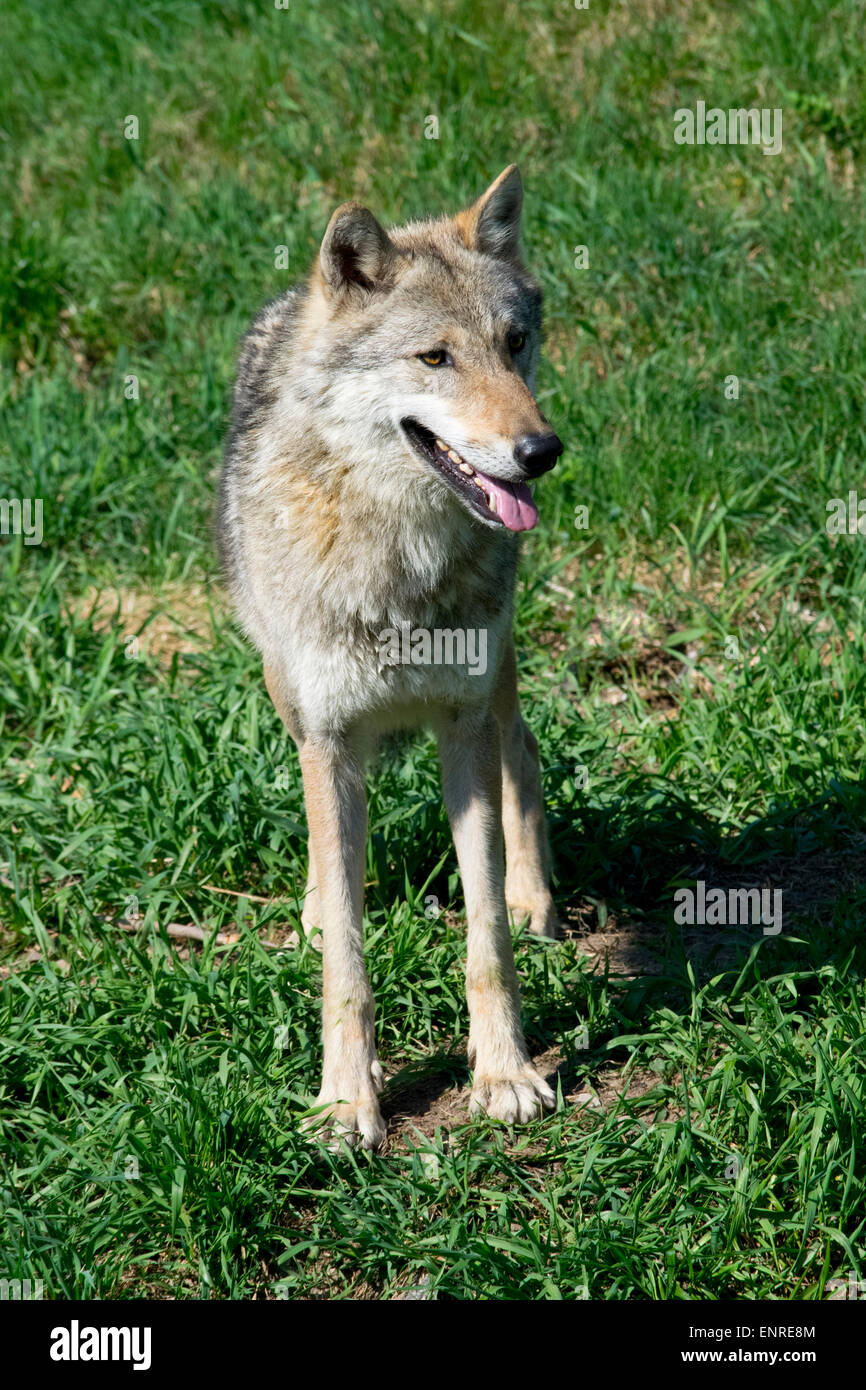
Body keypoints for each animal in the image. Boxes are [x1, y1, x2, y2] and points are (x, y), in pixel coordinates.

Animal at [218, 166, 564, 1149]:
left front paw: (505, 1075)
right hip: (287, 694)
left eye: (513, 343)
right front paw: (346, 1105)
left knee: (524, 750)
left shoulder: (461, 723)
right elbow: (345, 952)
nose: (541, 451)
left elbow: (485, 935)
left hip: (498, 676)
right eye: (435, 359)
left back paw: (537, 900)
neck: (395, 557)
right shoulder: (330, 739)